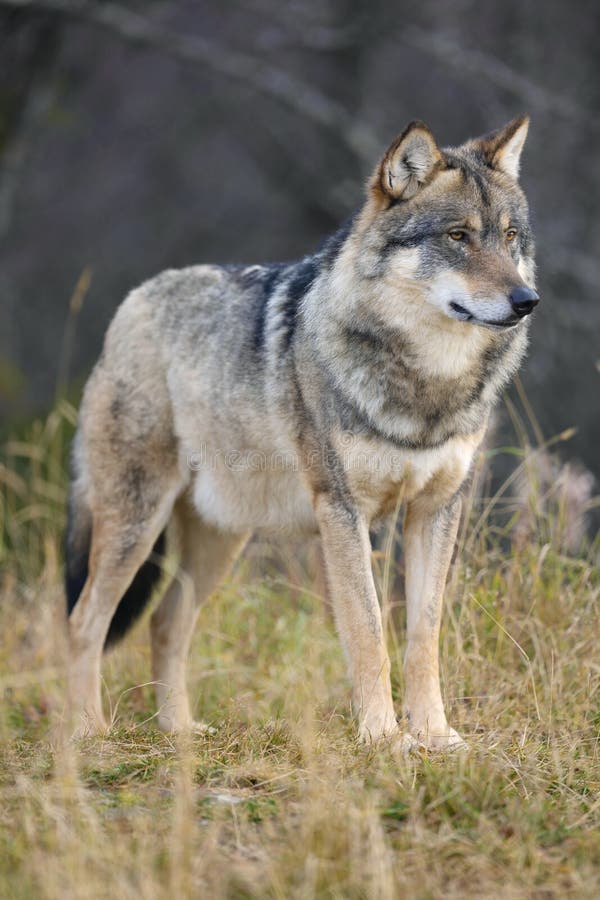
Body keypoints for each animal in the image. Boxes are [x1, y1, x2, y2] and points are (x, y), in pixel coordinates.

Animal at [65, 117, 538, 750]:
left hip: (219, 539)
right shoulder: (341, 511)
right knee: (84, 620)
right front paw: (383, 739)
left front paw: (436, 737)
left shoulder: (437, 510)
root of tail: (133, 301)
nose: (526, 301)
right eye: (458, 236)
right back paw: (88, 732)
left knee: (165, 621)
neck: (426, 384)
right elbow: (367, 632)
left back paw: (180, 731)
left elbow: (423, 638)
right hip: (136, 525)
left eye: (510, 237)